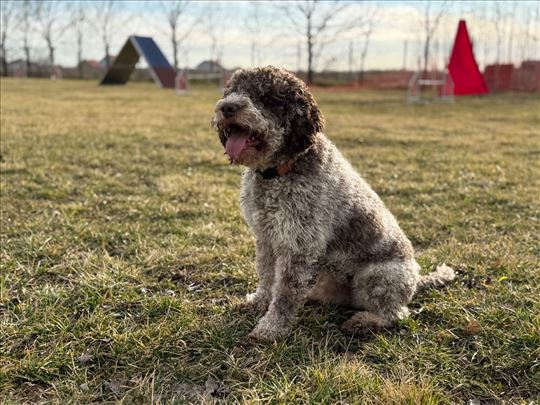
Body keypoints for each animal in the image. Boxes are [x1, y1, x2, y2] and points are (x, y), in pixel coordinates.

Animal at [212, 66, 456, 340]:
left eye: (266, 97)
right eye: (232, 91)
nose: (227, 107)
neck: (281, 171)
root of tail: (417, 279)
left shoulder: (299, 246)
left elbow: (285, 293)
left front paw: (271, 328)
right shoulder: (266, 237)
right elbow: (266, 276)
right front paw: (259, 303)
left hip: (378, 277)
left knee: (397, 313)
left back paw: (366, 321)